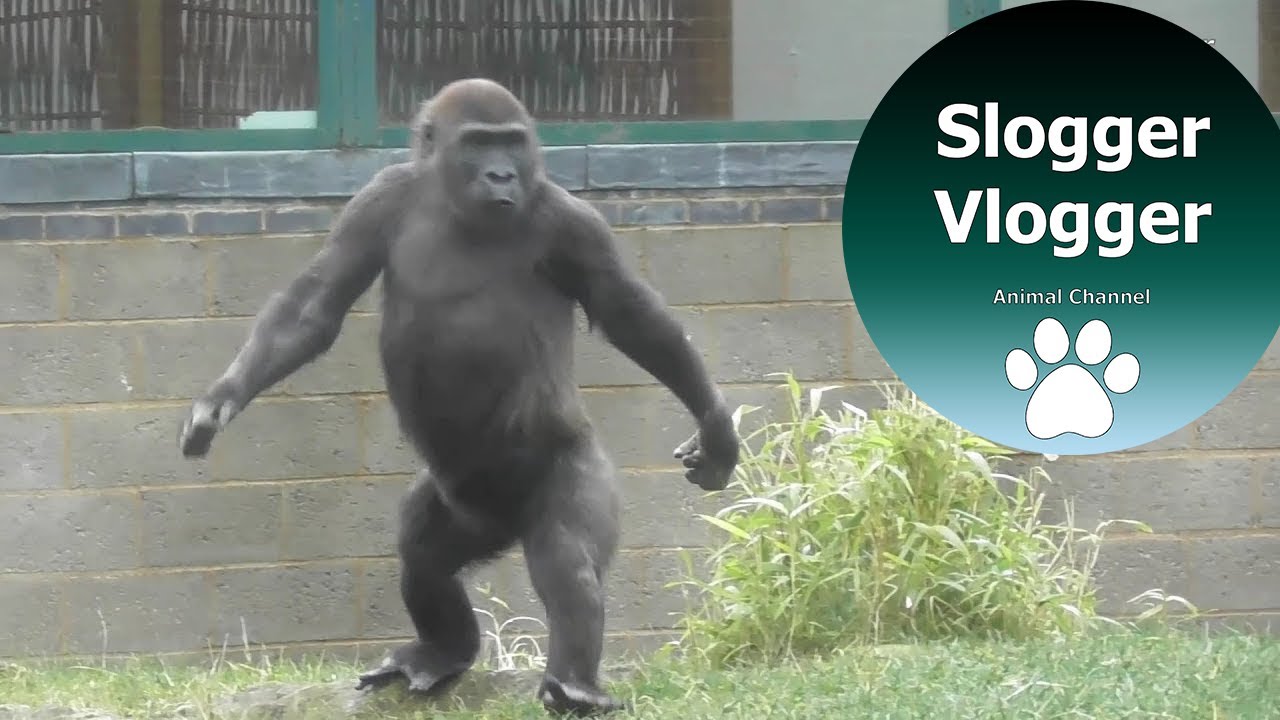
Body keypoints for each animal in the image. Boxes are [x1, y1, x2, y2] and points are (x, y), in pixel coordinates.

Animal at [177, 77, 739, 717]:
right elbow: (314, 307)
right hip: (467, 512)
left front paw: (716, 429)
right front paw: (221, 399)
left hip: (565, 469)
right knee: (424, 555)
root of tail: (503, 525)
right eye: (478, 143)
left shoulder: (573, 222)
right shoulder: (378, 198)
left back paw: (571, 681)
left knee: (567, 559)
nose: (501, 175)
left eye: (511, 143)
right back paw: (445, 651)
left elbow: (630, 315)